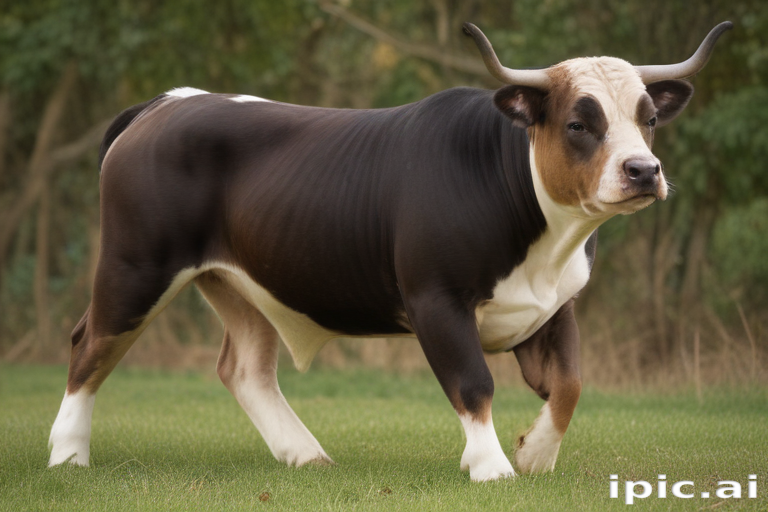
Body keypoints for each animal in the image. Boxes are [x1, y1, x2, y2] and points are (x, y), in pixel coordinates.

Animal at [48, 22, 731, 481]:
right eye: (578, 123)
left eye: (647, 119)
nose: (643, 171)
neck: (544, 243)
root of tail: (166, 103)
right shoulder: (436, 300)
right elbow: (473, 381)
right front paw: (491, 466)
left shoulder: (554, 308)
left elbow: (569, 384)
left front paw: (535, 453)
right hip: (136, 267)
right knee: (90, 344)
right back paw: (68, 454)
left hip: (239, 282)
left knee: (244, 368)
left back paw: (307, 455)